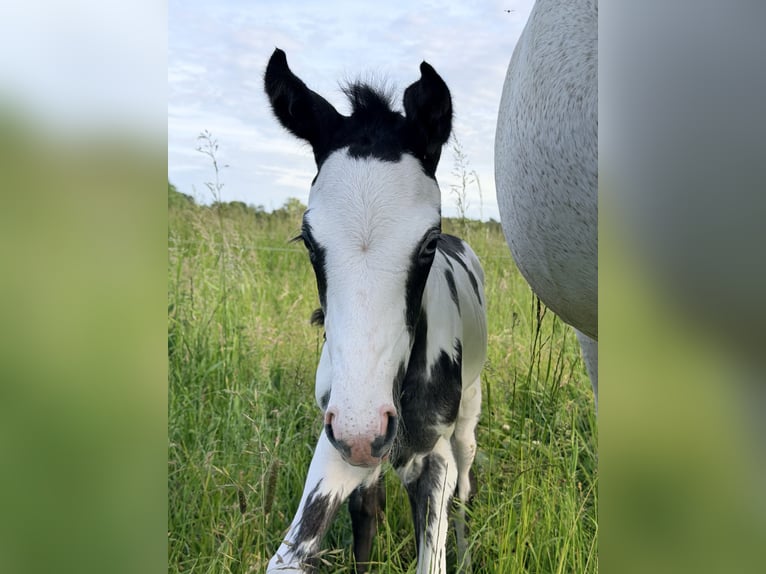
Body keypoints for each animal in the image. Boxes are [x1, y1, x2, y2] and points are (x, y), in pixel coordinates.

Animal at [263, 49, 488, 574]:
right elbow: (307, 545)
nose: (364, 428)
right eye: (308, 241)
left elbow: (433, 551)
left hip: (467, 414)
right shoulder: (338, 442)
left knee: (466, 481)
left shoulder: (432, 458)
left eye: (428, 242)